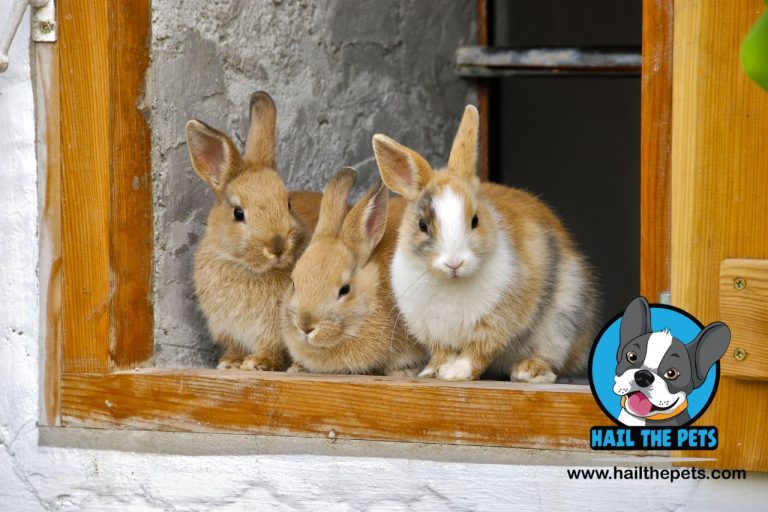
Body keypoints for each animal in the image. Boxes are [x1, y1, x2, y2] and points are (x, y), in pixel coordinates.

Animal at [186, 91, 322, 371]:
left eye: (288, 203)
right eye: (238, 213)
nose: (277, 246)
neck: (249, 269)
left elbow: (272, 348)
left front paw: (257, 363)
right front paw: (230, 362)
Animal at [371, 105, 598, 383]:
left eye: (475, 220)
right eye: (422, 225)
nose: (454, 262)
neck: (451, 283)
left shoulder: (494, 324)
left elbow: (478, 351)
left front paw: (456, 373)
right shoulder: (433, 331)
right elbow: (442, 352)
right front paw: (432, 372)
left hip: (563, 321)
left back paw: (528, 371)